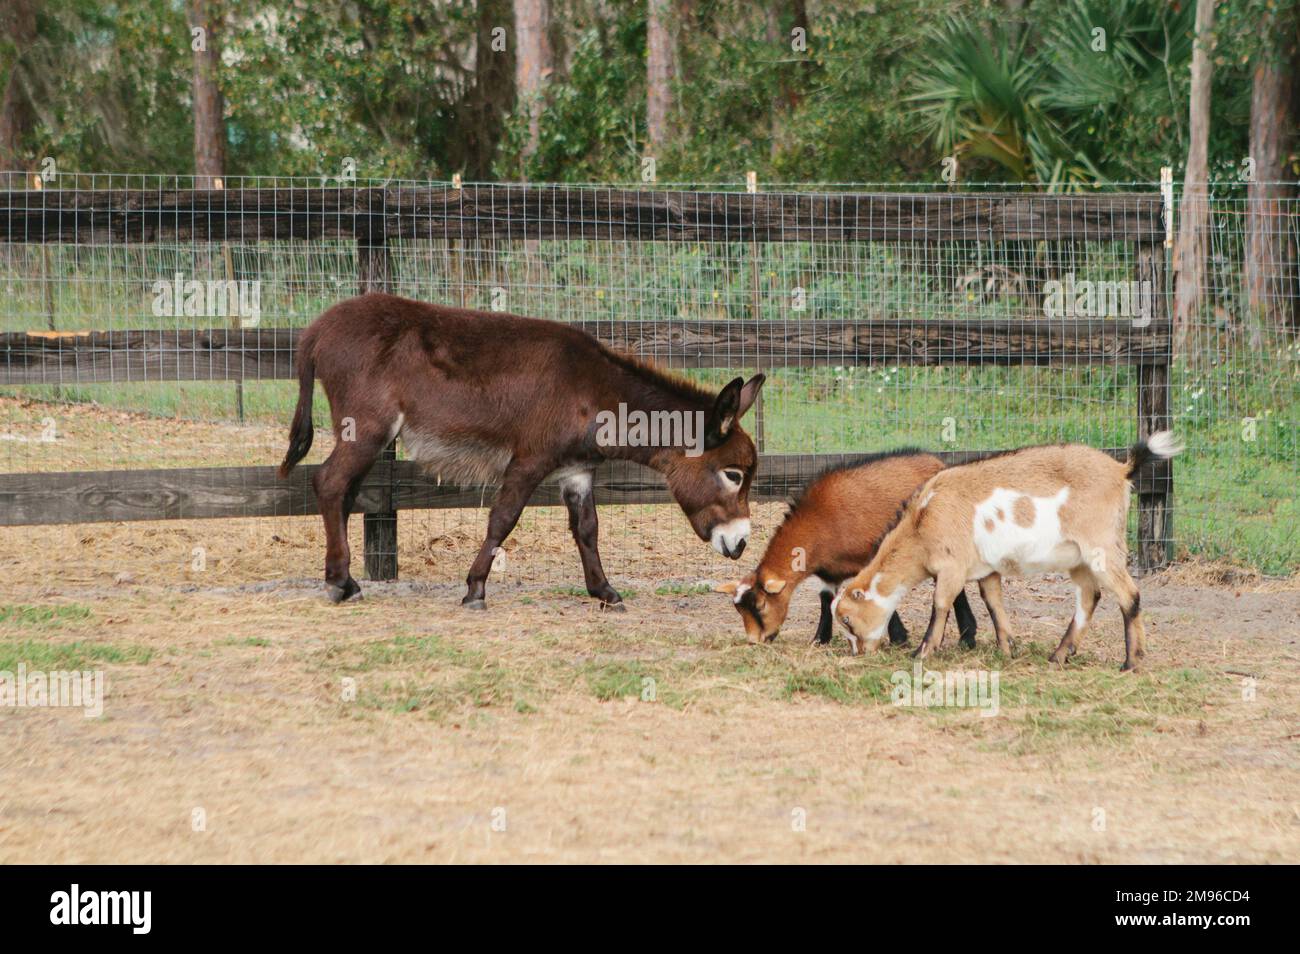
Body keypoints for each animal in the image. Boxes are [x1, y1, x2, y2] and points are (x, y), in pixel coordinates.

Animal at [717, 450, 982, 648]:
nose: (755, 641)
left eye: (760, 606)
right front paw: (819, 639)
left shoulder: (868, 558)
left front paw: (898, 638)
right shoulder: (828, 573)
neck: (819, 520)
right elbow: (826, 599)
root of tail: (940, 464)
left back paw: (967, 638)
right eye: (739, 610)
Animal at [833, 432, 1183, 671]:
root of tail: (1120, 469)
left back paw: (1131, 662)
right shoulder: (986, 568)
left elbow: (940, 604)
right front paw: (1007, 648)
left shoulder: (951, 567)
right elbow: (993, 603)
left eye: (848, 619)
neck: (924, 517)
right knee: (1089, 597)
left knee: (1129, 596)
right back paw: (1058, 655)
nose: (858, 651)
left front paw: (922, 652)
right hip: (1080, 558)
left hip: (1101, 546)